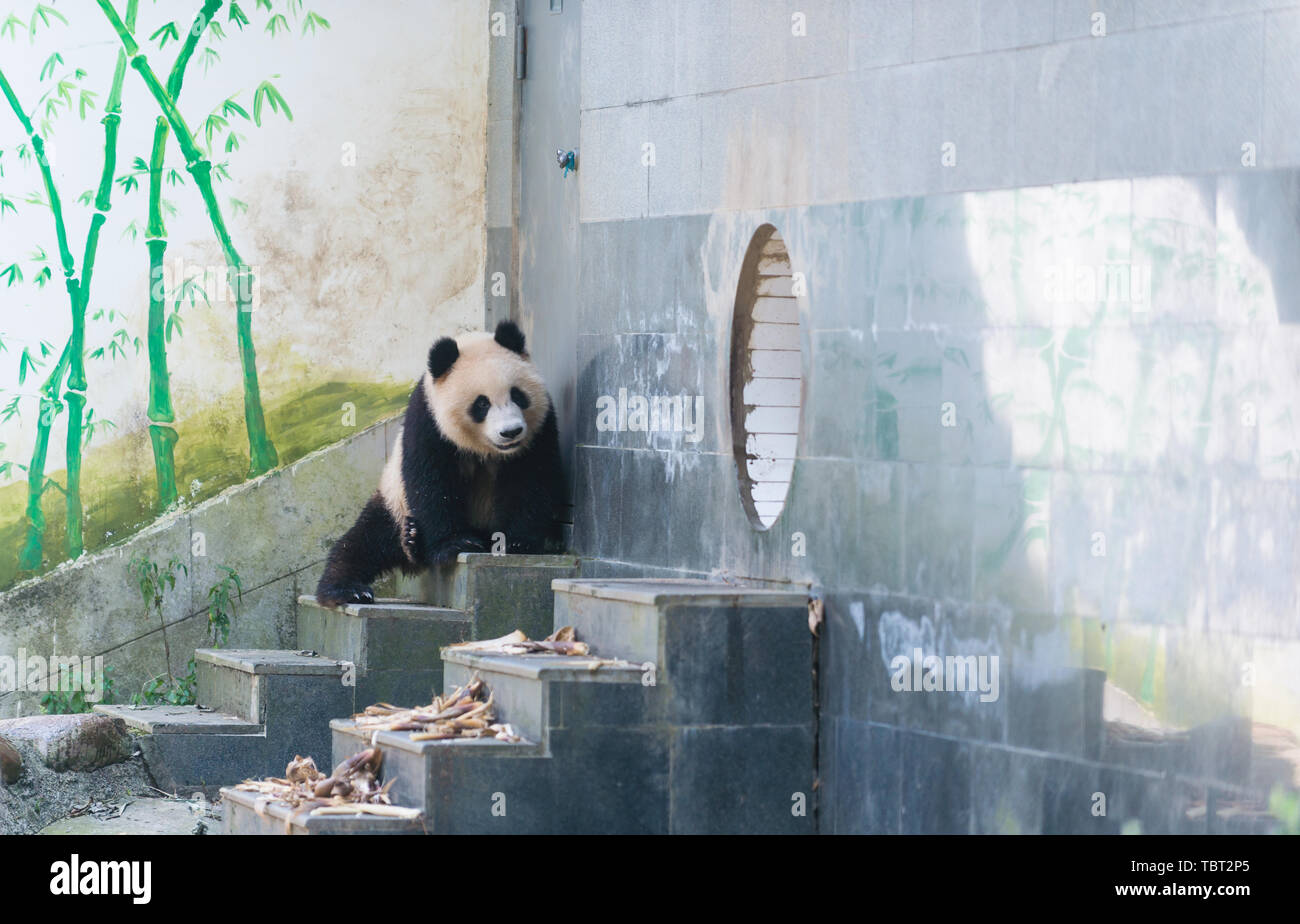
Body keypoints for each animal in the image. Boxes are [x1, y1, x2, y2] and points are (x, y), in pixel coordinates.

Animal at [315, 320, 564, 608]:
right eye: (482, 403)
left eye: (518, 395)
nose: (511, 432)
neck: (484, 448)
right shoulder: (429, 419)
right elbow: (431, 481)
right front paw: (454, 544)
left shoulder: (540, 427)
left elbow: (531, 480)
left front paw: (516, 543)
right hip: (394, 501)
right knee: (361, 543)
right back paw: (356, 582)